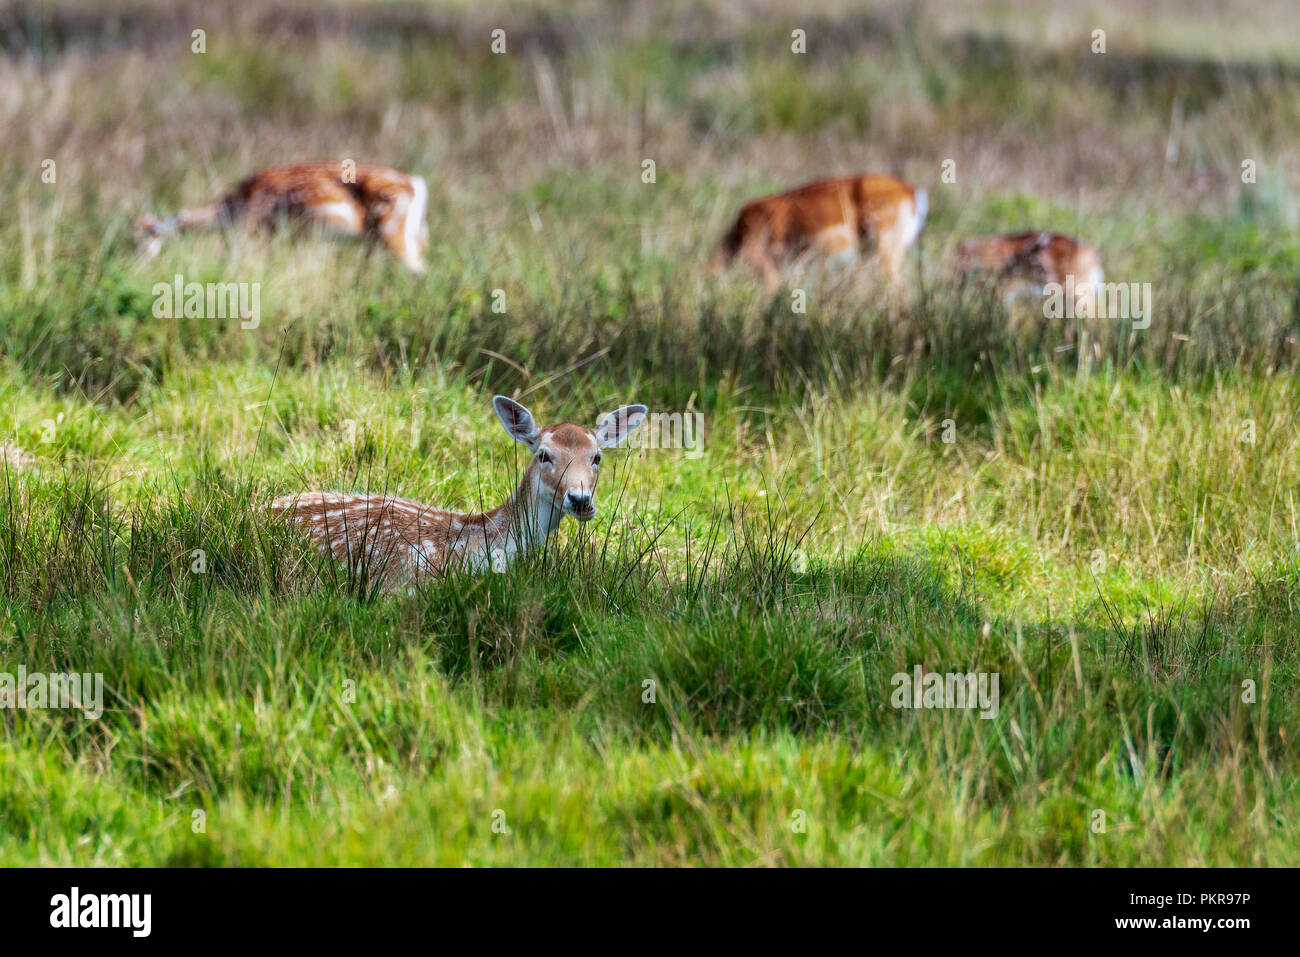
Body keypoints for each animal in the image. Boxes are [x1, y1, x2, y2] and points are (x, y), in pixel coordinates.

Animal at [133, 161, 429, 272]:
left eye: (144, 235)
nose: (136, 263)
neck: (234, 207)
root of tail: (417, 183)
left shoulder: (253, 229)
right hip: (408, 232)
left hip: (393, 231)